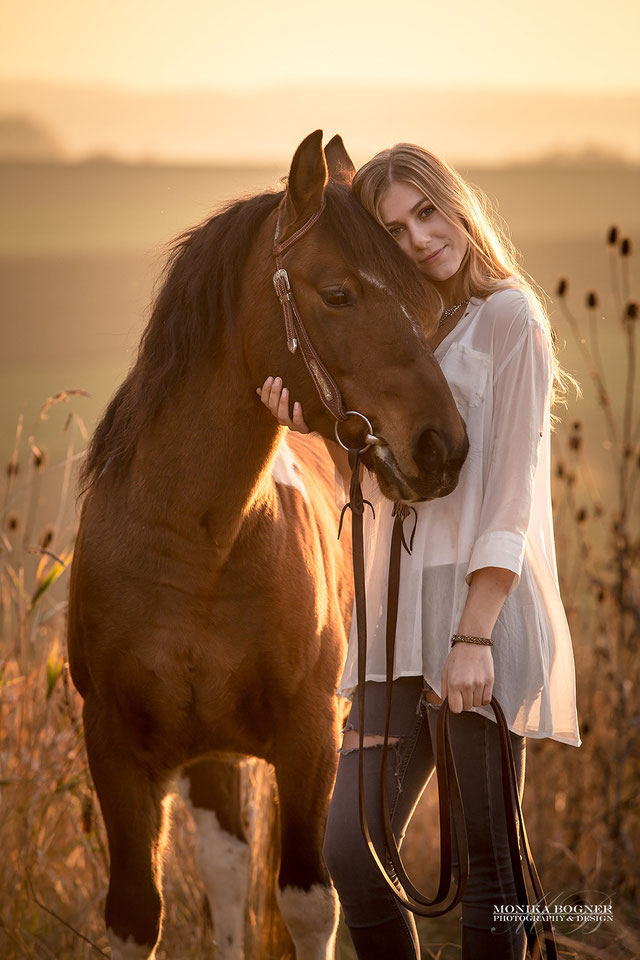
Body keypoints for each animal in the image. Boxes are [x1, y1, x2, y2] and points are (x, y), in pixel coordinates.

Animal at [67, 130, 469, 960]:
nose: (443, 448)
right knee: (224, 869)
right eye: (338, 294)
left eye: (424, 304)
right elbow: (135, 916)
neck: (199, 540)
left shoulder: (311, 737)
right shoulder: (114, 745)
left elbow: (309, 904)